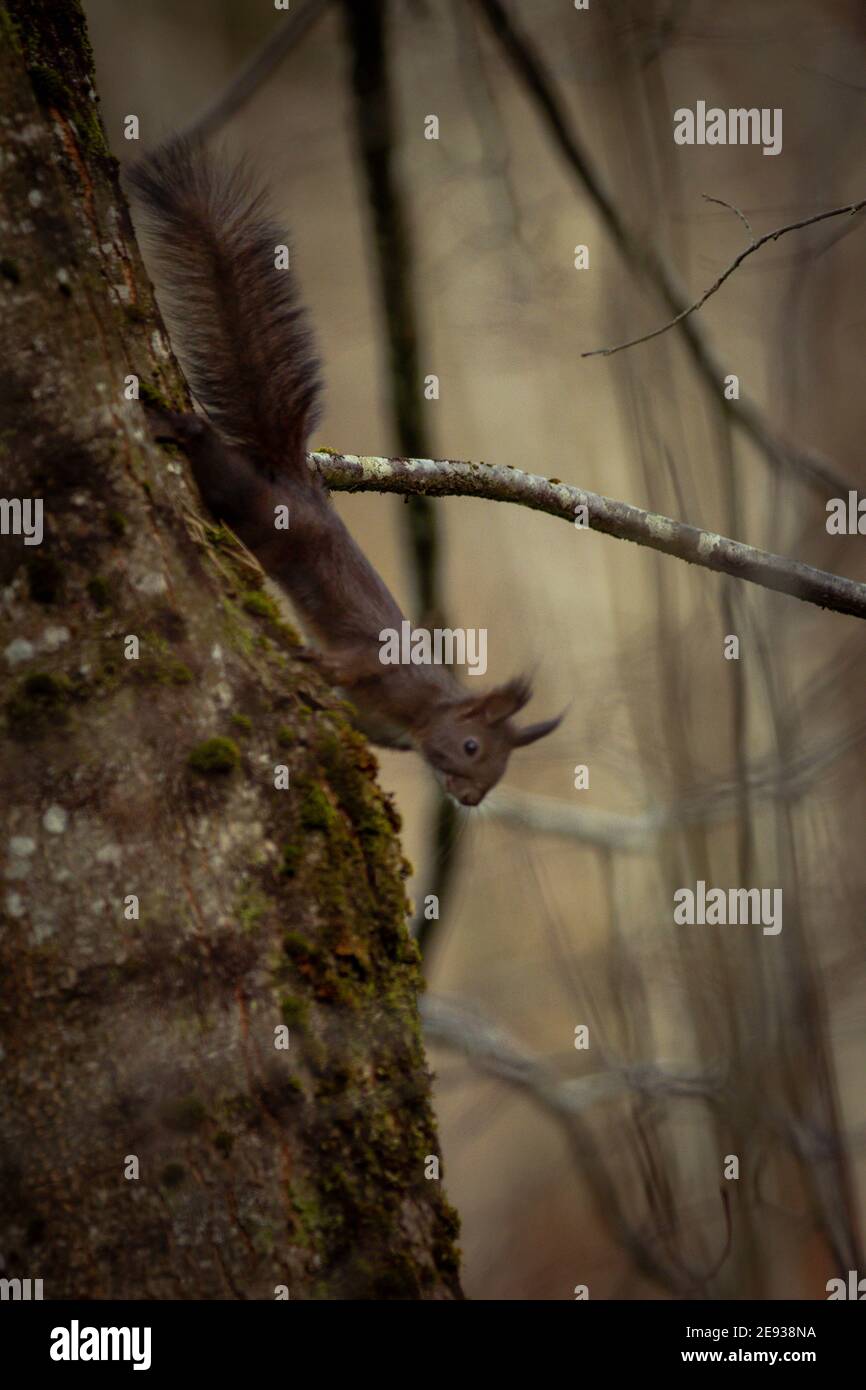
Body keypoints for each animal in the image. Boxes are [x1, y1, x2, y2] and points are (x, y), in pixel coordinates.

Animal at [127, 138, 561, 806]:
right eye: (471, 747)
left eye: (497, 774)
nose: (468, 800)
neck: (422, 712)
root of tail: (295, 479)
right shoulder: (380, 667)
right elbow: (352, 664)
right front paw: (320, 664)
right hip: (257, 507)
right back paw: (179, 427)